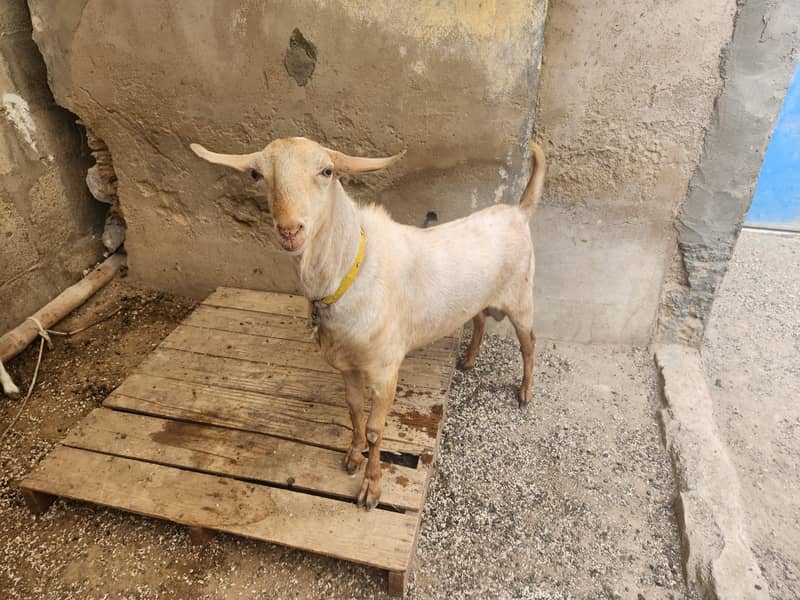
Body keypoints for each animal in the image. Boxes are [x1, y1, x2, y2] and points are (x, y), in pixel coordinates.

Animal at [191, 137, 545, 509]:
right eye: (257, 174)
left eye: (327, 171)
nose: (290, 230)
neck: (351, 269)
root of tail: (519, 211)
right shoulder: (348, 365)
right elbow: (353, 410)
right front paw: (352, 456)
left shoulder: (385, 369)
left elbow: (376, 431)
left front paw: (371, 489)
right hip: (480, 295)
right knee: (478, 319)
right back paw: (469, 359)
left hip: (521, 297)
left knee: (529, 342)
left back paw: (525, 392)